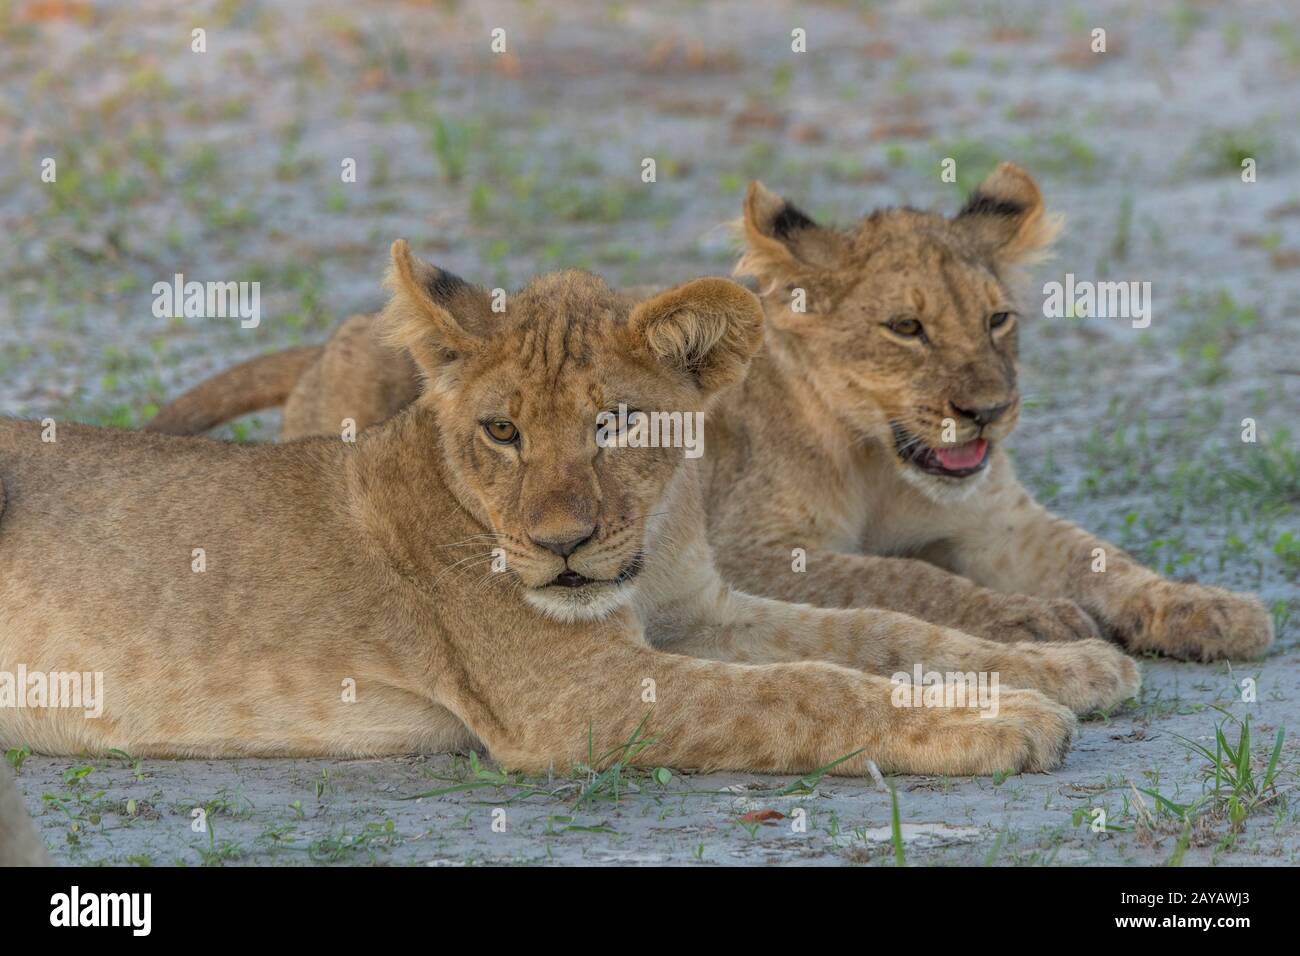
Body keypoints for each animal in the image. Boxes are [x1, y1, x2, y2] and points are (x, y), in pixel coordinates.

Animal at [0, 241, 1142, 778]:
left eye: (616, 423)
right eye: (502, 429)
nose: (559, 548)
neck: (652, 537)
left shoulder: (696, 614)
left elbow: (878, 627)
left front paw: (1070, 664)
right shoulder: (572, 697)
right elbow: (813, 691)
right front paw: (1004, 721)